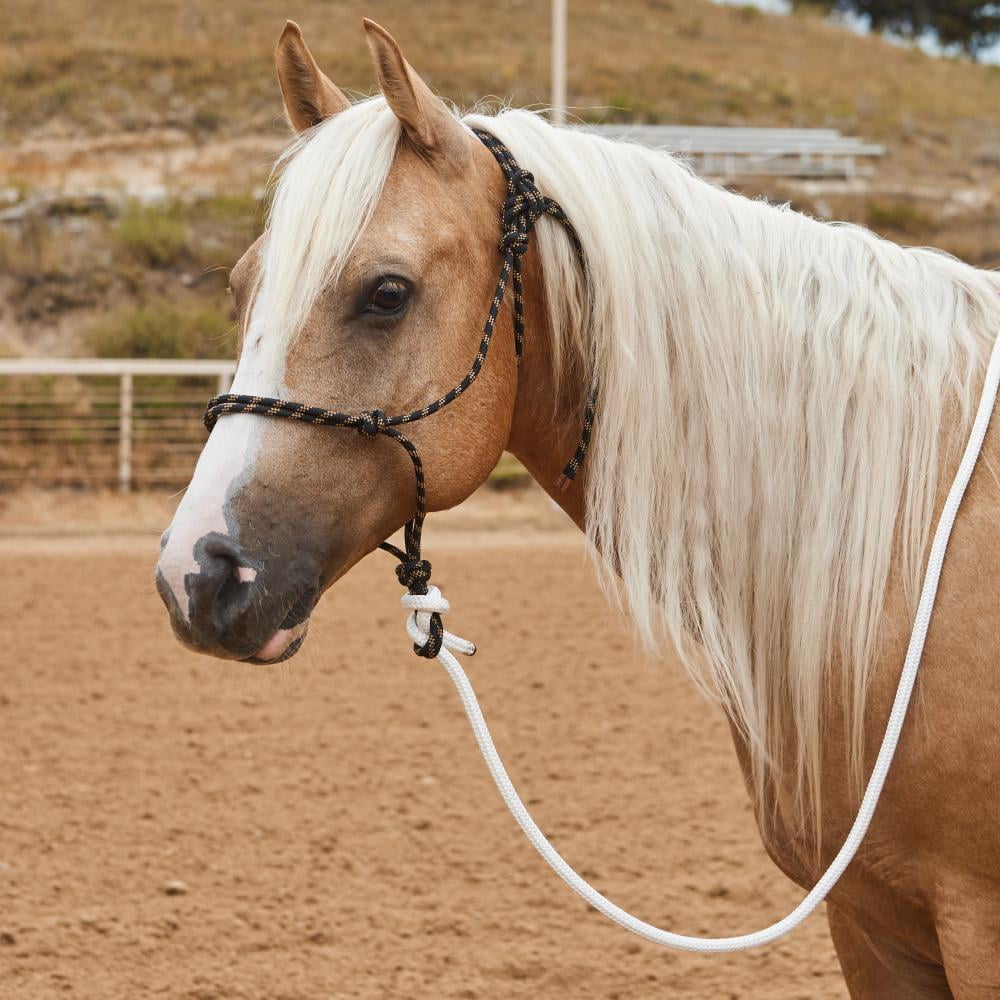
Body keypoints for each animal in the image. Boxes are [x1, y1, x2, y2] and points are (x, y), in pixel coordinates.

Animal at [155, 19, 1000, 997]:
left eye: (387, 293)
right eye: (240, 287)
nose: (195, 572)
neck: (917, 554)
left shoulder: (973, 926)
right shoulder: (870, 924)